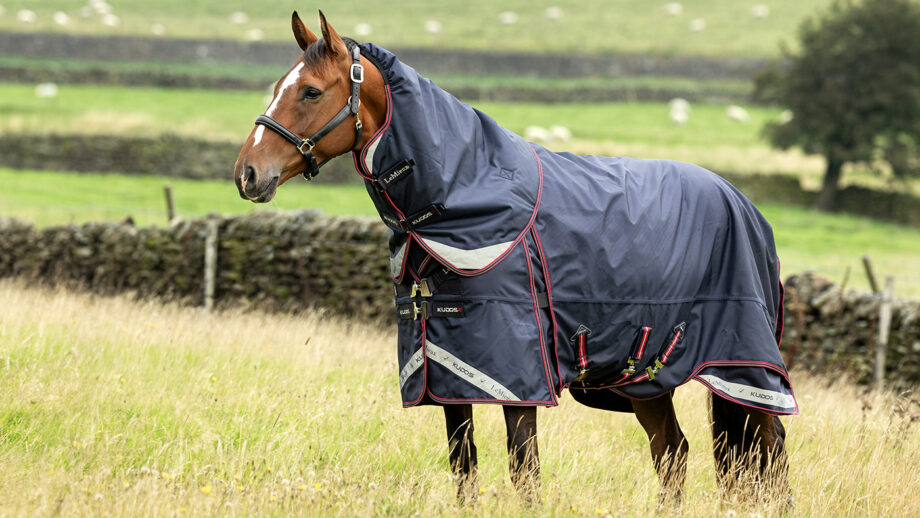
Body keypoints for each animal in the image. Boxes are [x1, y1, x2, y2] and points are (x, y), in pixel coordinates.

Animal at [234, 11, 796, 508]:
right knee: (673, 454)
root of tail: (746, 206)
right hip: (647, 376)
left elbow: (524, 471)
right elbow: (464, 466)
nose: (247, 173)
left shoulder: (518, 377)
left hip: (745, 369)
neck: (464, 198)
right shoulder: (448, 375)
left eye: (310, 91)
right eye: (280, 86)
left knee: (770, 451)